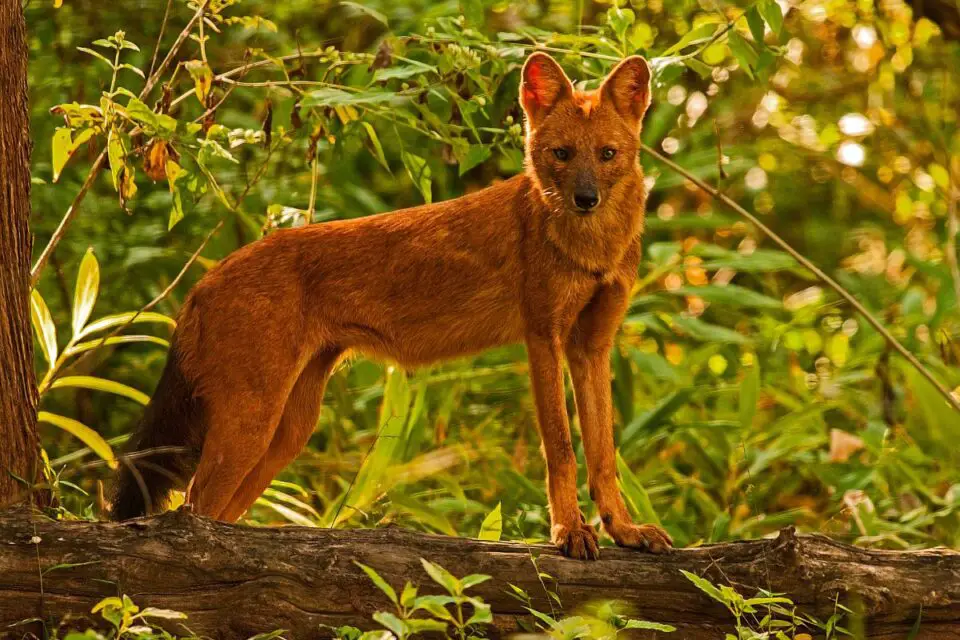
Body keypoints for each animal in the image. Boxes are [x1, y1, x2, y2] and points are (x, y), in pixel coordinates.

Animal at [112, 51, 673, 560]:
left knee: (215, 510)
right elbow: (560, 447)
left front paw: (624, 530)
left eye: (606, 154)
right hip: (251, 421)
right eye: (561, 153)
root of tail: (202, 283)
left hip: (288, 429)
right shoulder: (543, 337)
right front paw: (568, 532)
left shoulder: (592, 346)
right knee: (192, 508)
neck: (595, 247)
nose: (585, 199)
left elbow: (603, 452)